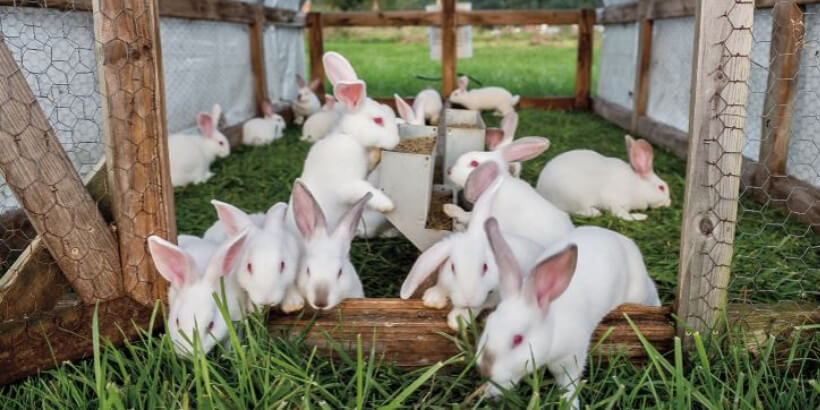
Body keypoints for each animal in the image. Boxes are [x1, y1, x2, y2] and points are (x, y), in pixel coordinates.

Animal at [400, 173, 543, 330]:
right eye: (452, 267)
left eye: (485, 267)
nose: (467, 300)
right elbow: (442, 285)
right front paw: (433, 299)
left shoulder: (492, 297)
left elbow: (478, 307)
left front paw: (456, 321)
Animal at [476, 218, 661, 407]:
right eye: (488, 325)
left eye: (518, 339)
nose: (485, 368)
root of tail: (625, 240)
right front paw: (492, 392)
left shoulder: (571, 359)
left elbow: (570, 385)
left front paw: (570, 405)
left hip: (638, 292)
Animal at [536, 135, 672, 221]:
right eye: (661, 188)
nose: (669, 202)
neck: (637, 185)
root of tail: (541, 192)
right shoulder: (614, 201)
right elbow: (623, 215)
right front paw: (641, 217)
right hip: (576, 198)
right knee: (580, 212)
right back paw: (596, 213)